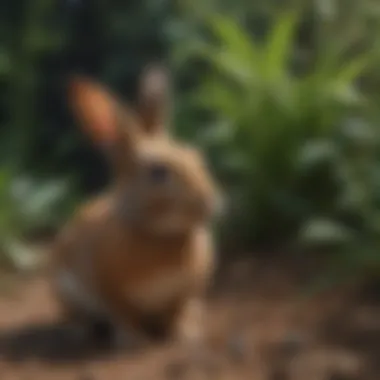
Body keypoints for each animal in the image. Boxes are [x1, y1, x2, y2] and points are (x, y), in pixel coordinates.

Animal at [49, 64, 223, 348]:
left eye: (195, 155)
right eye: (158, 173)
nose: (211, 202)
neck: (160, 234)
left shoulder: (187, 291)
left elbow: (181, 310)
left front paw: (185, 335)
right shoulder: (111, 292)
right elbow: (124, 315)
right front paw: (133, 342)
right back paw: (81, 333)